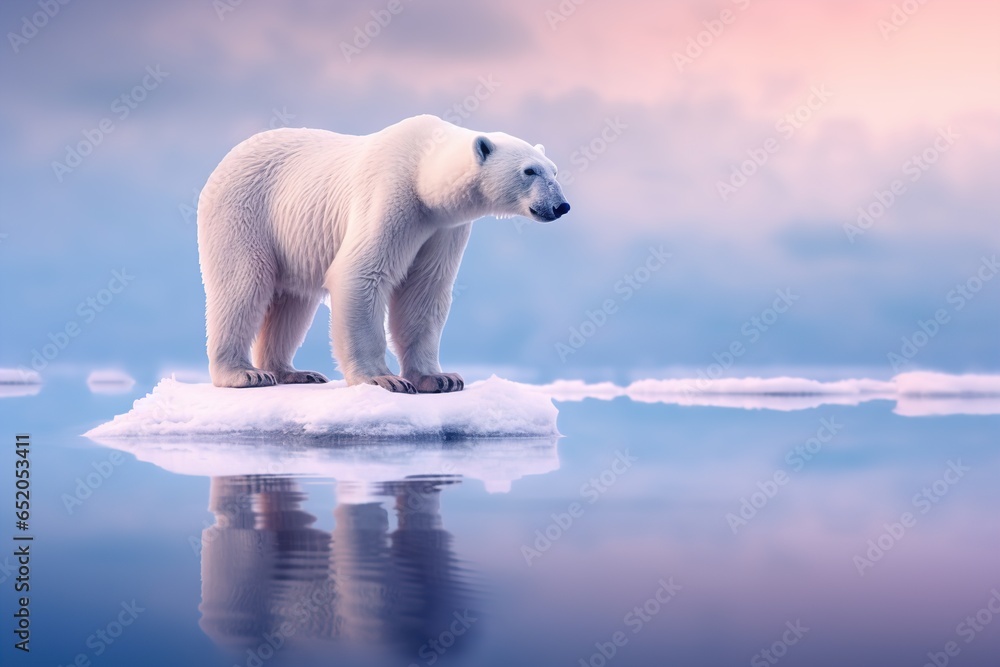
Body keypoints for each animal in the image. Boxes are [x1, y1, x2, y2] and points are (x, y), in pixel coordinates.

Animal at [197, 114, 570, 393]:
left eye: (554, 170)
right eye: (529, 171)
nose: (561, 206)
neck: (422, 172)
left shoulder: (442, 228)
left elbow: (424, 290)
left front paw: (441, 378)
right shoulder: (389, 196)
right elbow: (362, 274)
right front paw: (384, 379)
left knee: (292, 302)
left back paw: (294, 372)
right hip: (245, 211)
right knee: (243, 284)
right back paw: (245, 374)